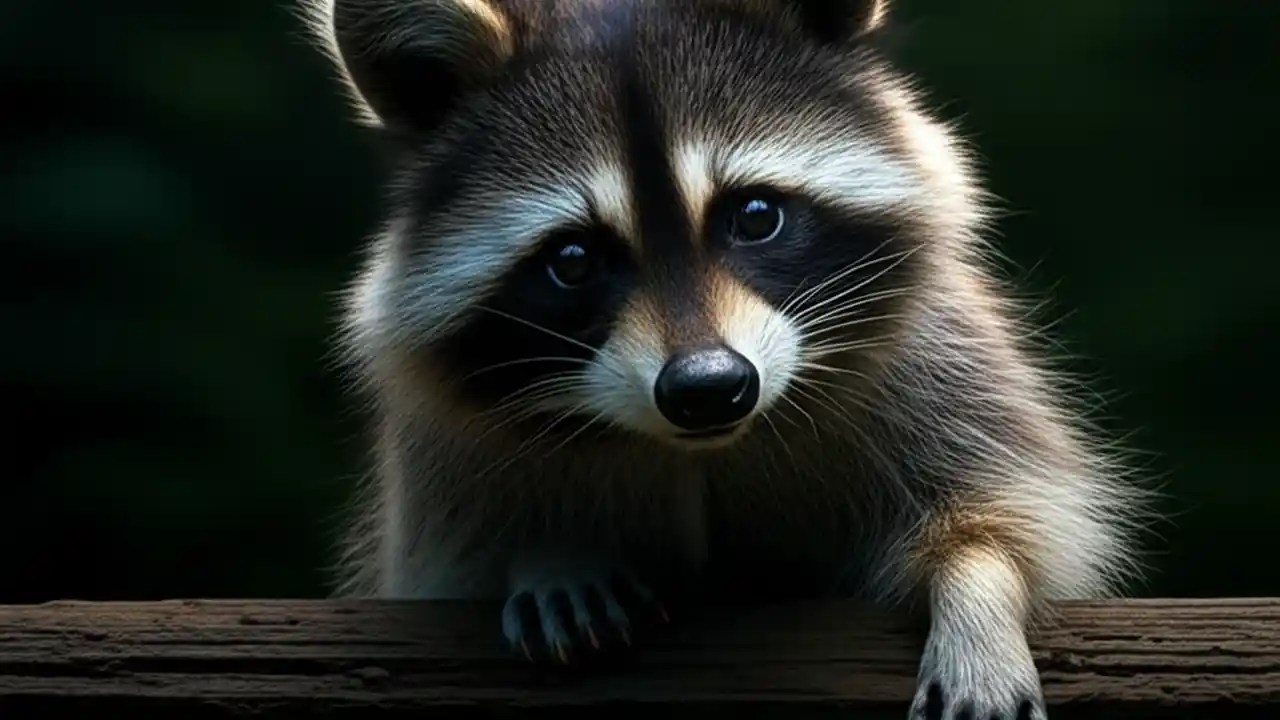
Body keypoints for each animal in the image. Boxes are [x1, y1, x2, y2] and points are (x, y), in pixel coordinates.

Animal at [297, 1, 1154, 718]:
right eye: (573, 259)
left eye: (755, 215)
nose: (708, 388)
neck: (705, 446)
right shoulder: (446, 453)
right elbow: (454, 559)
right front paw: (547, 557)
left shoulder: (937, 362)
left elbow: (1016, 512)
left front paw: (978, 588)